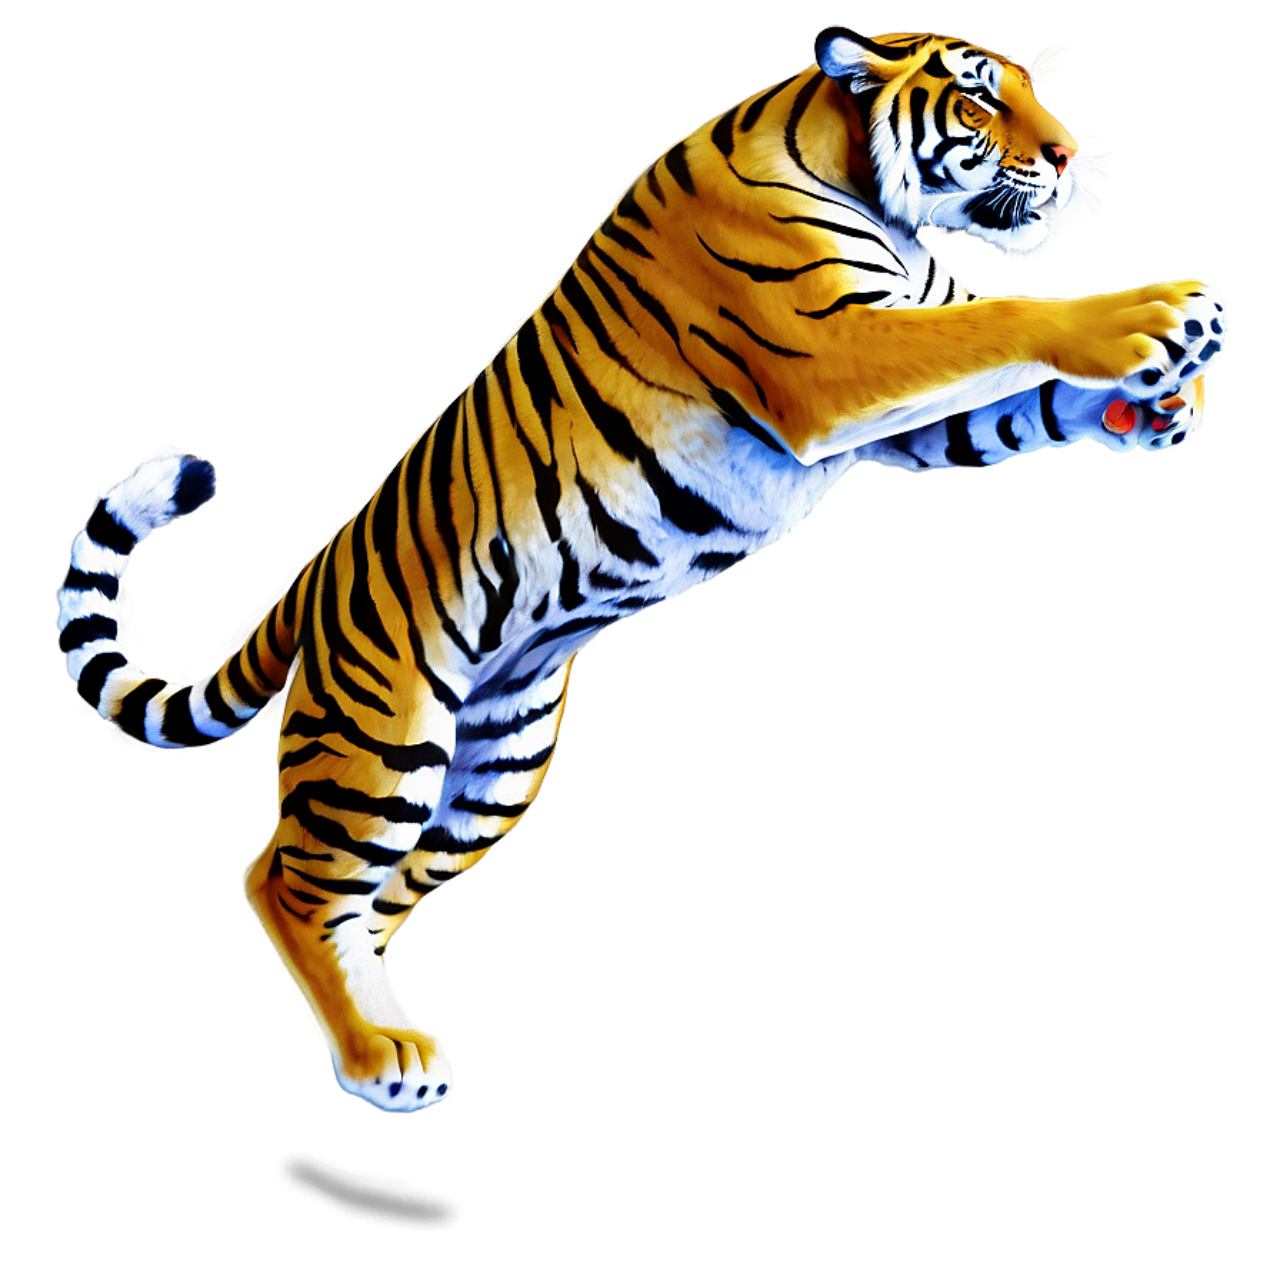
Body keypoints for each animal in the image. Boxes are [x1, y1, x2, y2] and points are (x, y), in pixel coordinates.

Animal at [55, 26, 1230, 1114]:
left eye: (1038, 91)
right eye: (982, 100)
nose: (1069, 154)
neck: (867, 184)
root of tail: (297, 592)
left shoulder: (911, 419)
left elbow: (1012, 390)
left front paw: (1162, 401)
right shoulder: (828, 356)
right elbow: (1006, 319)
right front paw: (1165, 315)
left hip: (494, 770)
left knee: (369, 899)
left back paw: (389, 1023)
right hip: (384, 736)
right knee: (286, 882)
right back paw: (379, 1058)